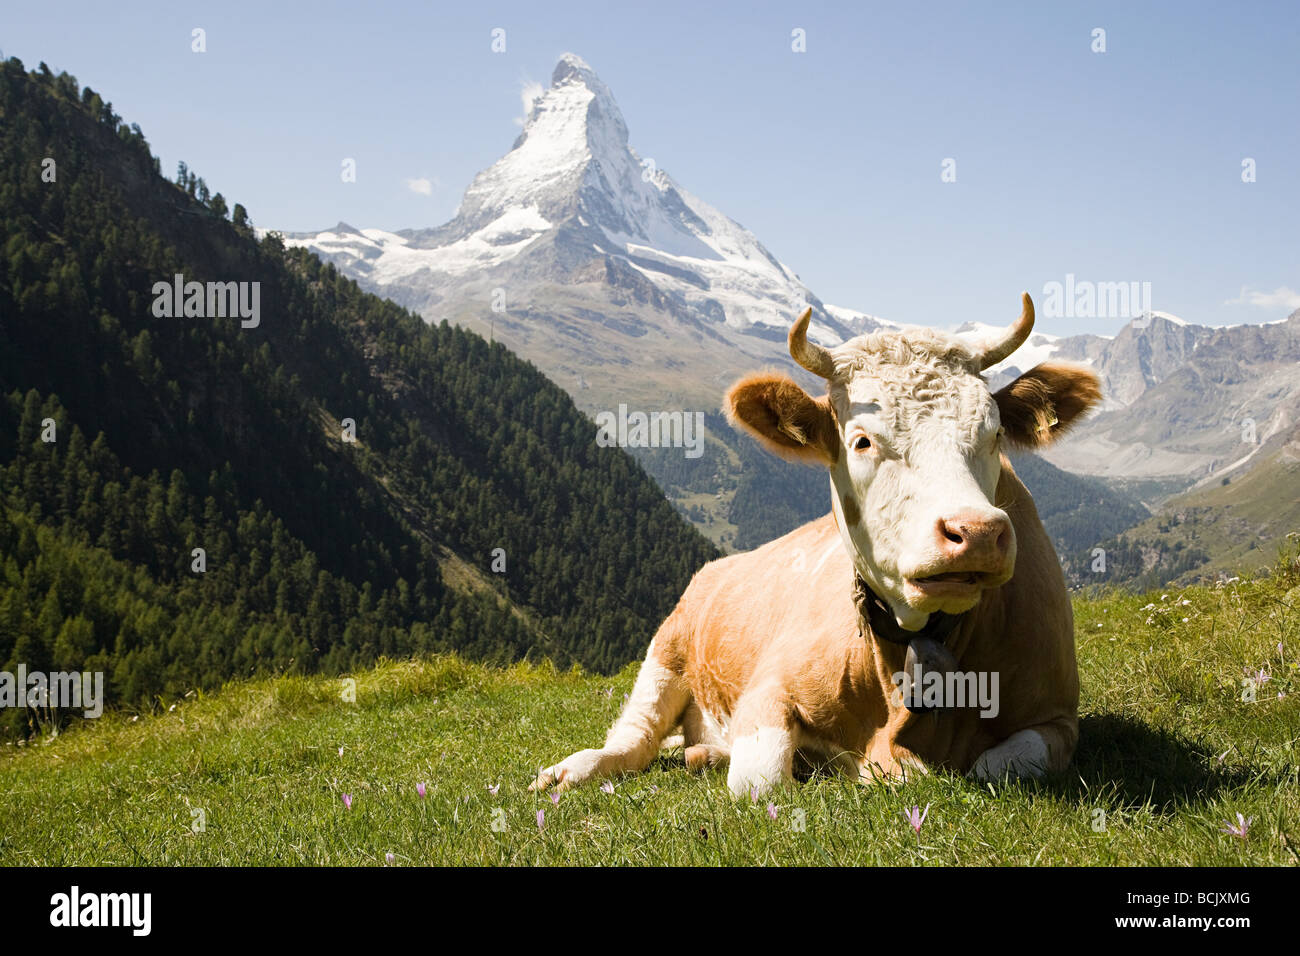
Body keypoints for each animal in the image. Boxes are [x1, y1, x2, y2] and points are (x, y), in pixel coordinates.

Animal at [531, 294, 1101, 797]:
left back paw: (703, 752)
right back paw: (574, 770)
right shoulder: (767, 690)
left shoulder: (1058, 719)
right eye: (862, 440)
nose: (978, 532)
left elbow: (996, 766)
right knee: (635, 738)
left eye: (994, 433)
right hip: (666, 648)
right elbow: (760, 782)